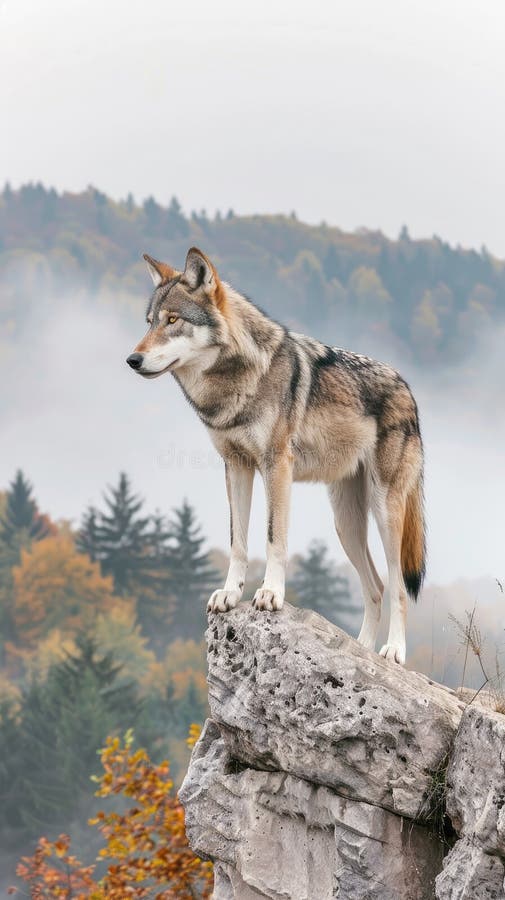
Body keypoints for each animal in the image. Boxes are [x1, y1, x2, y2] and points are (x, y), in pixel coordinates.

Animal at [126, 247, 425, 664]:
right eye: (150, 322)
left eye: (173, 320)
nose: (132, 360)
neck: (238, 381)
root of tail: (408, 388)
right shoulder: (236, 466)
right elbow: (237, 540)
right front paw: (230, 593)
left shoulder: (276, 466)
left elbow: (273, 537)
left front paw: (270, 593)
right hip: (345, 525)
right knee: (375, 587)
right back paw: (361, 650)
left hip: (386, 513)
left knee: (397, 586)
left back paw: (392, 651)